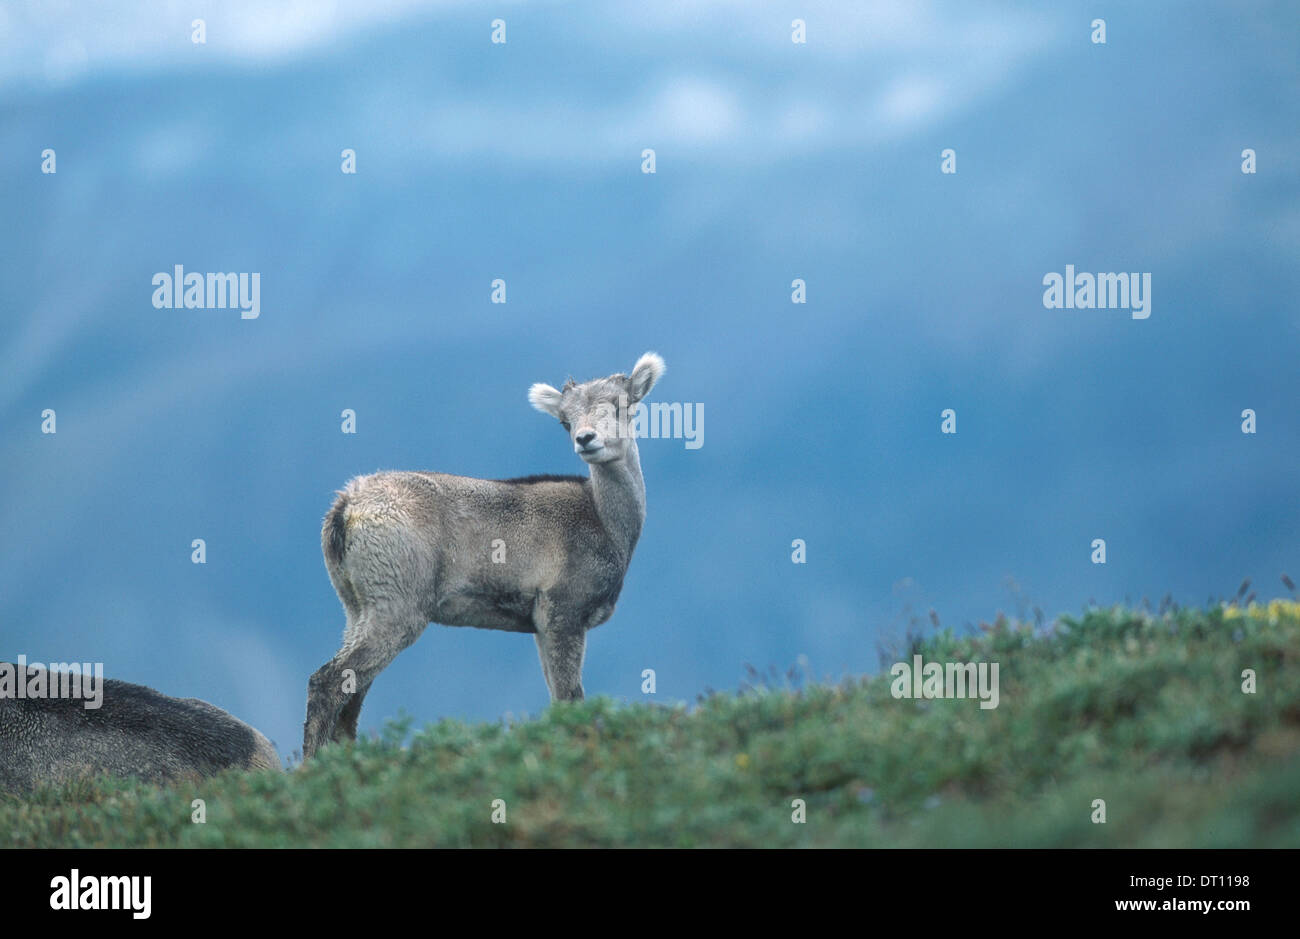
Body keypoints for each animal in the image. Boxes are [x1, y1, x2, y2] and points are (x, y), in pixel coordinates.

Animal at [303, 352, 665, 758]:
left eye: (621, 405)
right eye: (565, 420)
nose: (585, 439)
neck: (603, 520)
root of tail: (346, 508)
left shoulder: (540, 625)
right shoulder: (563, 612)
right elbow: (570, 699)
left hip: (356, 607)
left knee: (351, 698)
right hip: (396, 604)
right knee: (328, 681)